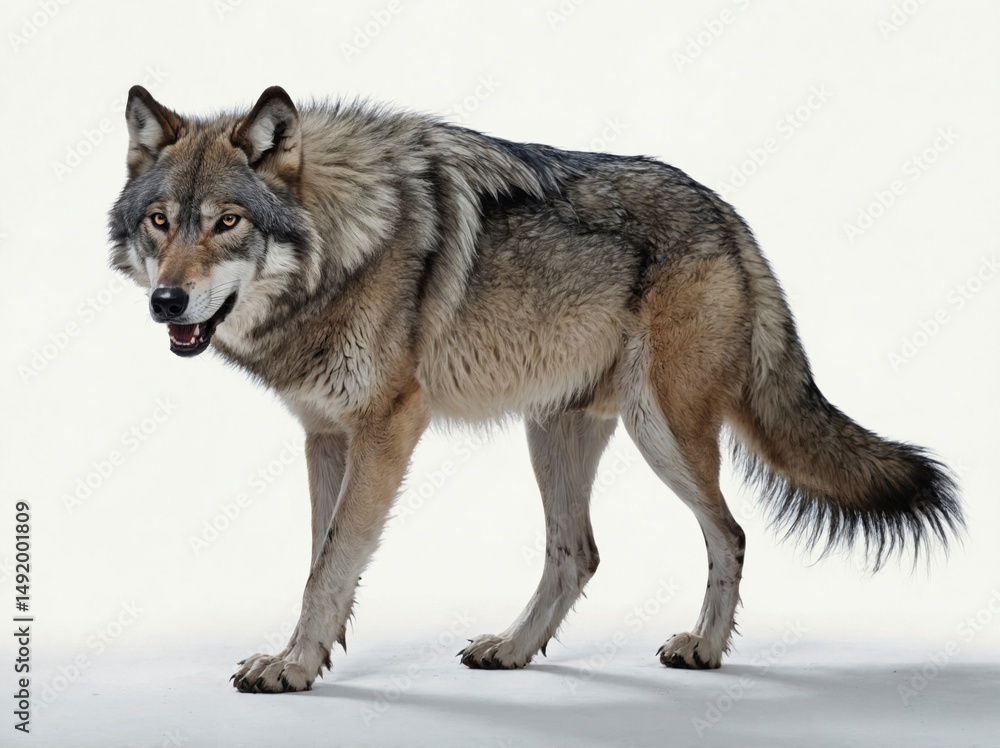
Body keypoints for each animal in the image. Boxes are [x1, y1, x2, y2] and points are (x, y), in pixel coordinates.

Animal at [108, 85, 962, 693]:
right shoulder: (327, 434)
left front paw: (292, 667)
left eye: (226, 222)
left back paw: (705, 649)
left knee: (730, 534)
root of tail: (729, 215)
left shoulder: (387, 427)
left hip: (663, 432)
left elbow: (335, 558)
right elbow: (321, 559)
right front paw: (309, 655)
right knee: (577, 552)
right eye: (161, 221)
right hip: (554, 431)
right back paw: (514, 650)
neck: (344, 245)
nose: (168, 303)